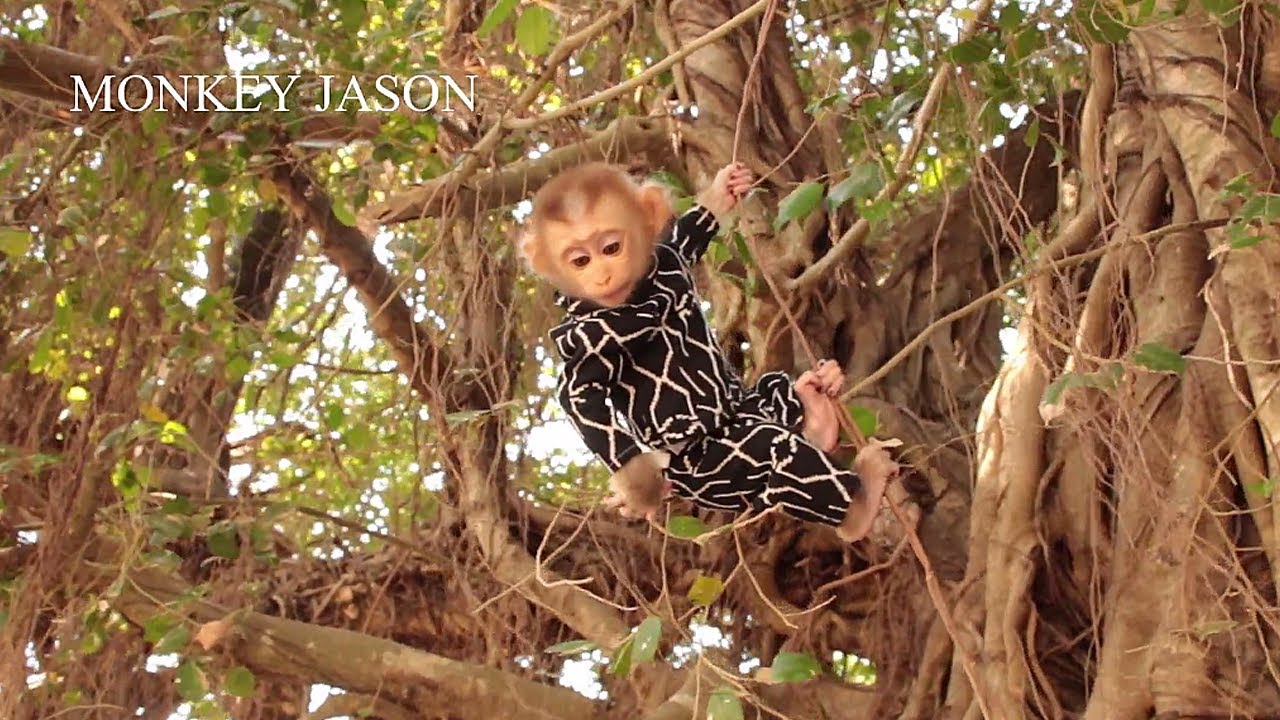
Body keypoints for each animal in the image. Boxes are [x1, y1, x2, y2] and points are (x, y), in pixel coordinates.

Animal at [517, 161, 899, 542]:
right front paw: (641, 491)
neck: (642, 291)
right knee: (771, 450)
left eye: (611, 248)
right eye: (580, 261)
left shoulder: (670, 257)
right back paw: (859, 507)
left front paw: (721, 192)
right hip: (705, 469)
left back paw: (815, 409)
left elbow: (684, 235)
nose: (601, 276)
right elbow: (580, 393)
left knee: (773, 392)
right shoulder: (590, 332)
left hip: (750, 402)